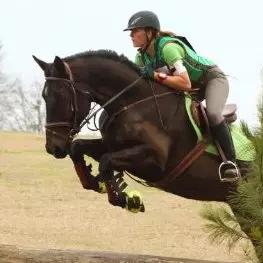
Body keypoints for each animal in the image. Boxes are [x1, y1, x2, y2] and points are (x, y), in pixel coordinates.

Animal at [32, 50, 255, 216]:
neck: (131, 103)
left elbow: (106, 161)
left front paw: (127, 200)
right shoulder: (112, 144)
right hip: (241, 208)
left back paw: (230, 170)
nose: (53, 148)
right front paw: (98, 183)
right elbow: (79, 147)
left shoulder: (154, 161)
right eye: (44, 96)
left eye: (60, 96)